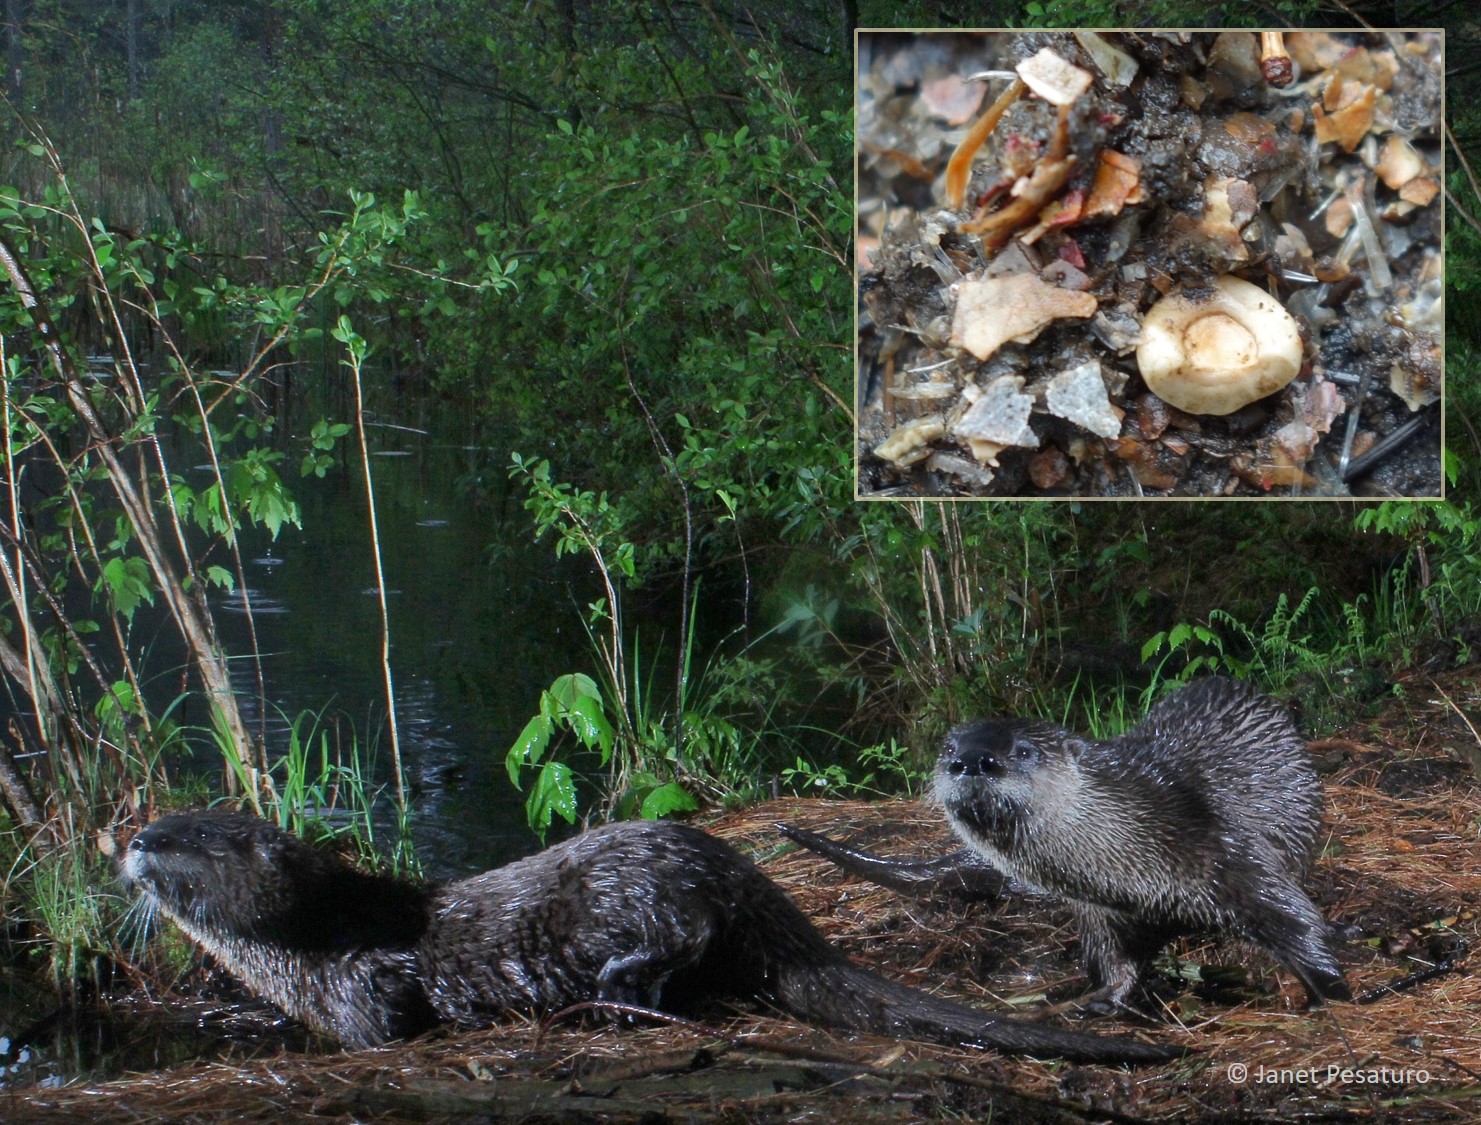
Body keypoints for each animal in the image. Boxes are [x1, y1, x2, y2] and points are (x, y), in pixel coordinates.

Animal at [783, 677, 1351, 1010]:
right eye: (948, 748)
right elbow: (1113, 961)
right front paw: (1100, 999)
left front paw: (1333, 995)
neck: (1137, 869)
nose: (971, 761)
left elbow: (1295, 921)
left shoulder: (1229, 853)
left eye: (1024, 751)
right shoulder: (1102, 910)